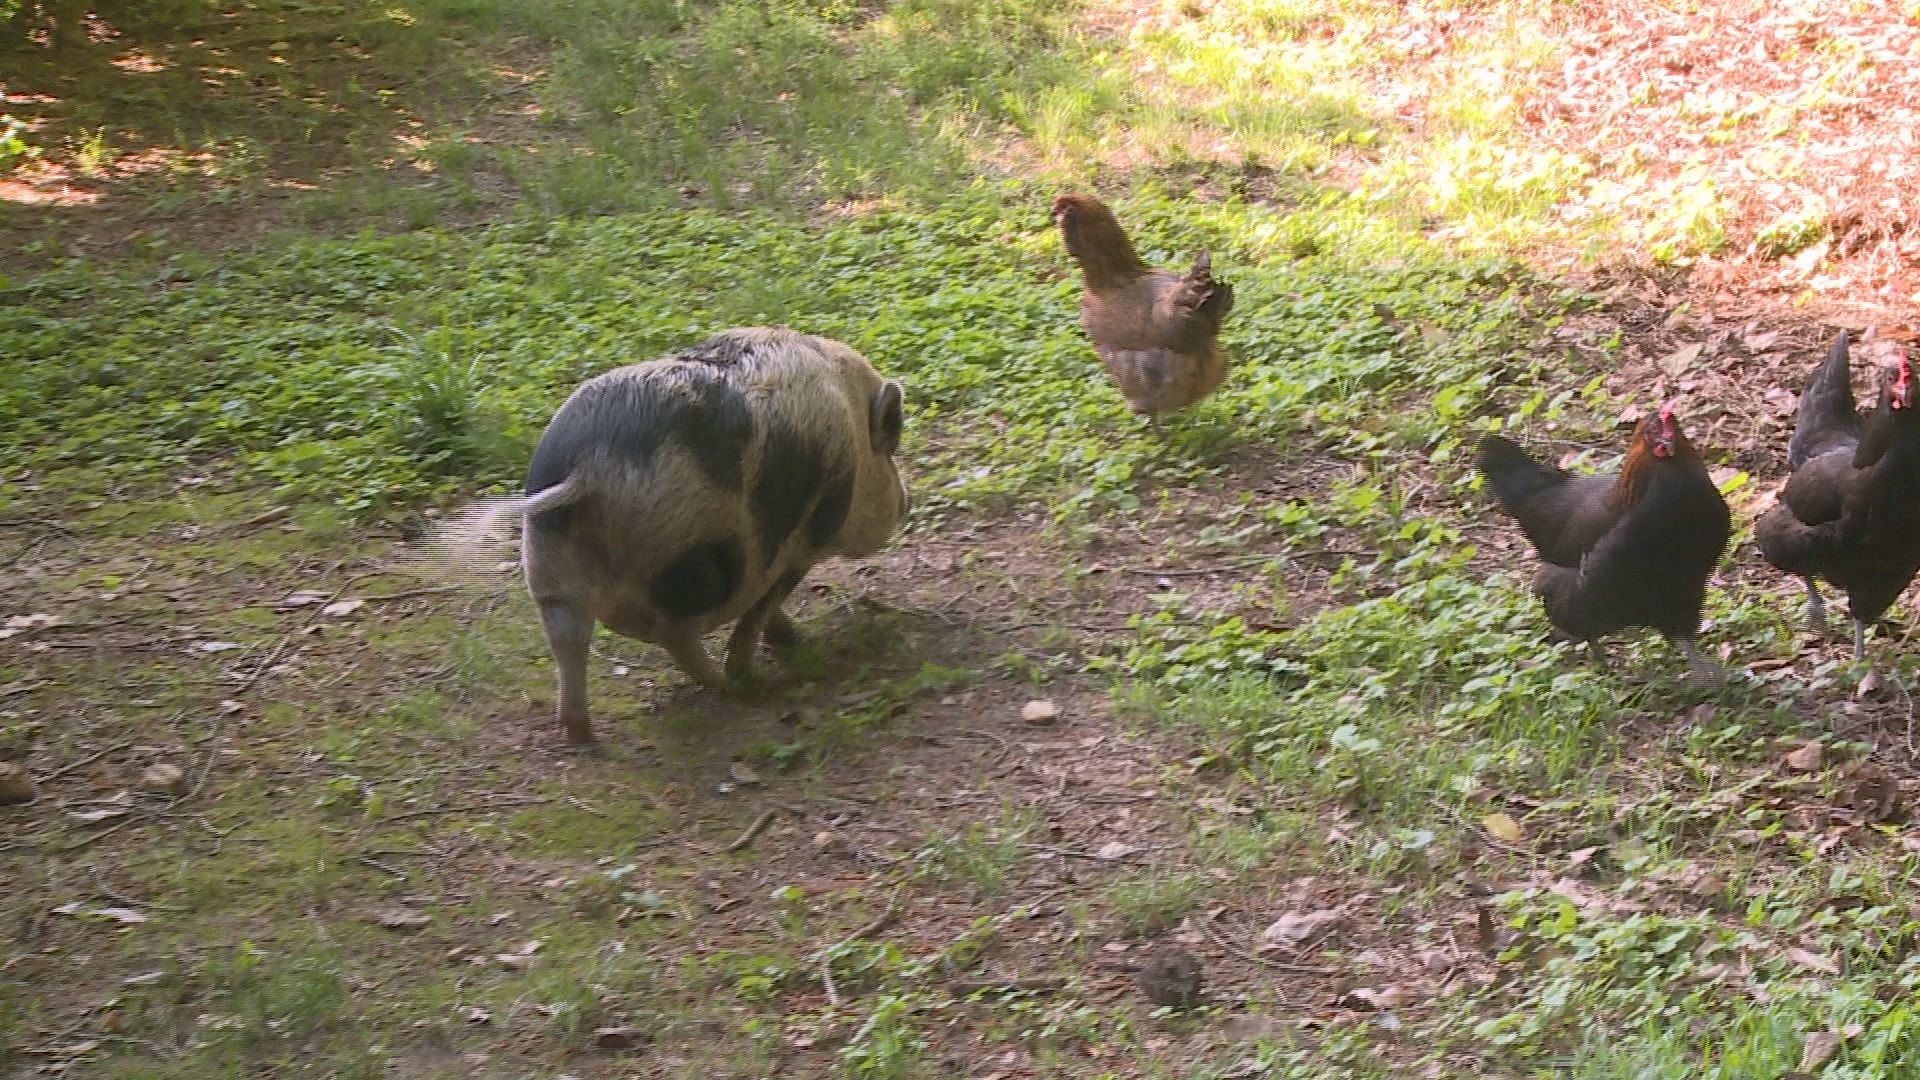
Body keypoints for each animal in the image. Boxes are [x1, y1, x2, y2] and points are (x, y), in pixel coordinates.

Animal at [426, 327, 909, 744]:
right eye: (888, 457)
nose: (906, 502)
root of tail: (589, 469)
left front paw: (790, 638)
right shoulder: (799, 545)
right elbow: (763, 606)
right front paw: (781, 650)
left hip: (548, 564)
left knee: (567, 637)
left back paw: (581, 734)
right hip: (690, 562)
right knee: (676, 636)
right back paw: (739, 688)